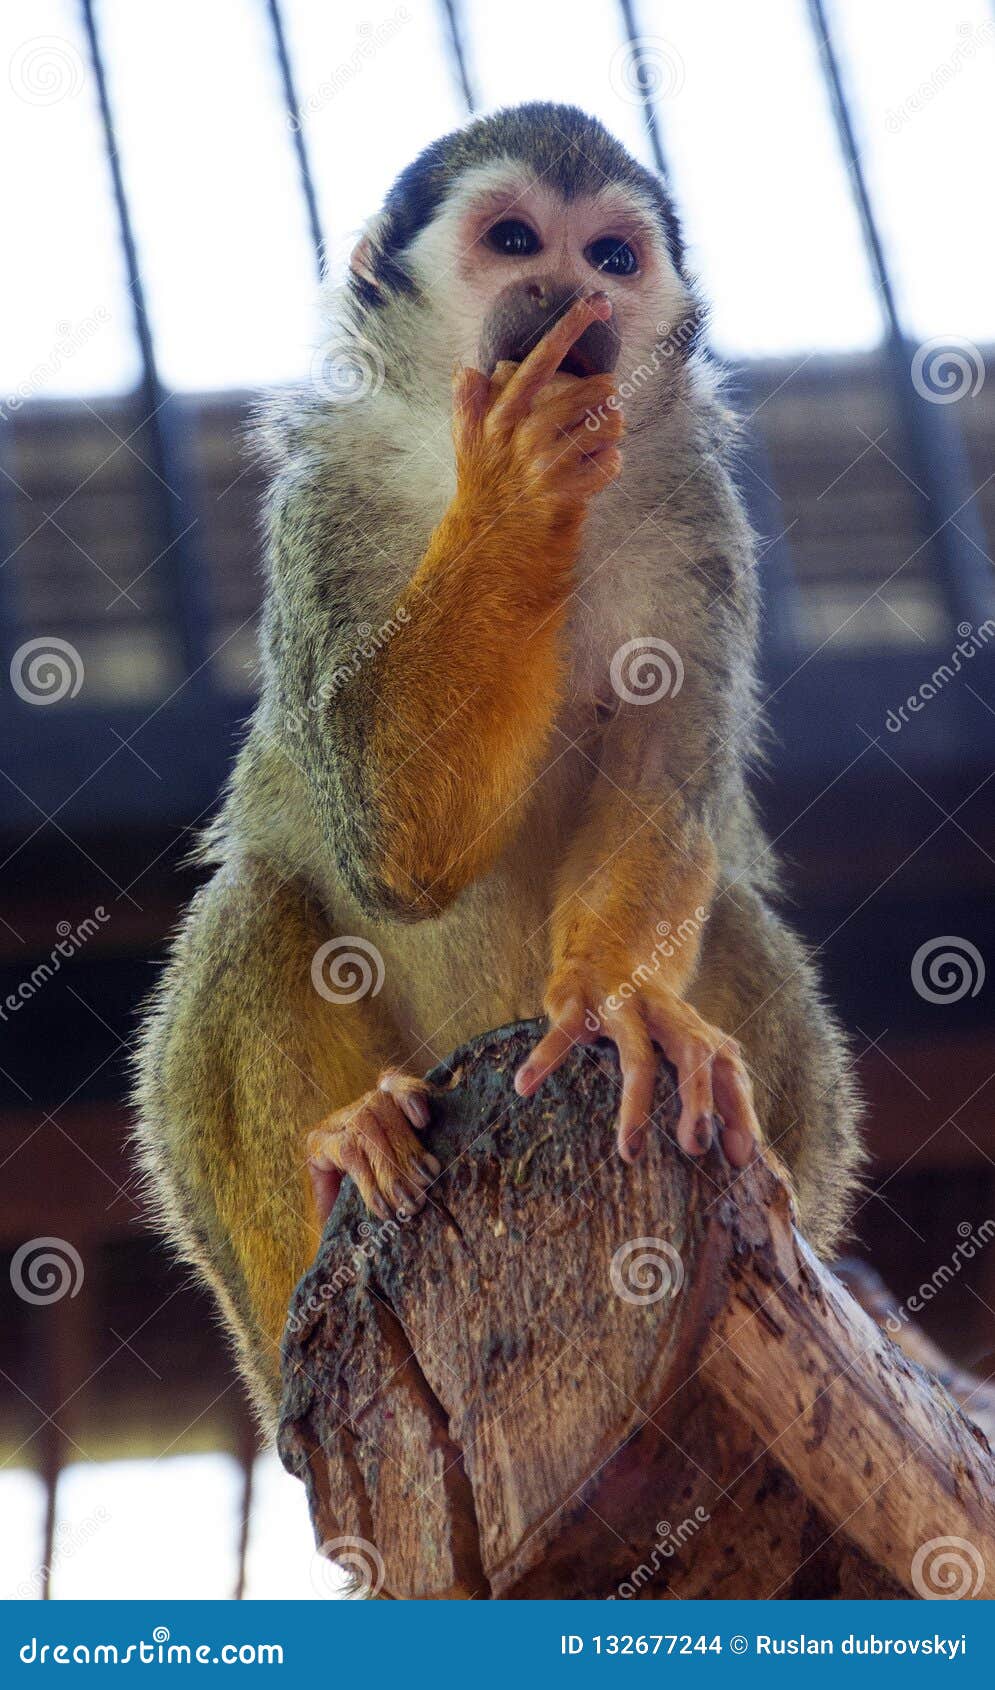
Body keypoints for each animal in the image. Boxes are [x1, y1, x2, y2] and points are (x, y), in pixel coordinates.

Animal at [133, 103, 862, 1429]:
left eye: (610, 258)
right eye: (515, 238)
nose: (568, 292)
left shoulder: (696, 507)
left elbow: (663, 789)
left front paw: (620, 1006)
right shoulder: (322, 499)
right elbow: (392, 839)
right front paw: (515, 487)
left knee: (728, 911)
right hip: (269, 1333)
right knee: (255, 896)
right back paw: (343, 1160)